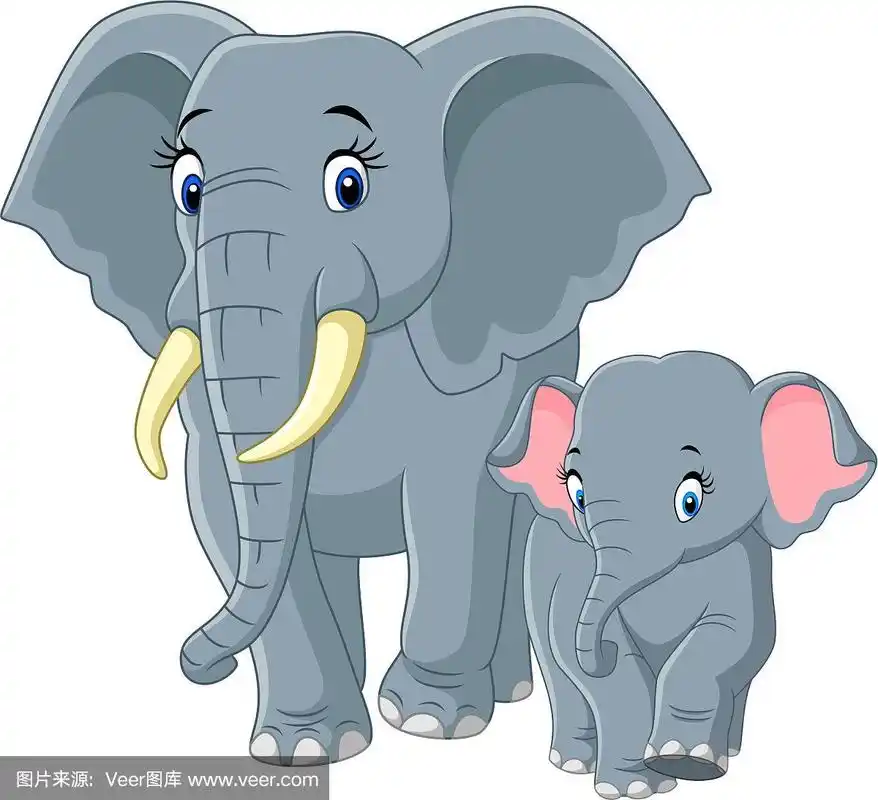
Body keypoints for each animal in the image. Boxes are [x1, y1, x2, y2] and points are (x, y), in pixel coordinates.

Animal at [2, 2, 709, 765]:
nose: (199, 664)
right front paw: (305, 749)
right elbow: (221, 500)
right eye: (188, 190)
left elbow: (452, 500)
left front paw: (431, 720)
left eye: (349, 186)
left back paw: (505, 690)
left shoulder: (470, 365)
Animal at [488, 351, 875, 798]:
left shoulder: (743, 565)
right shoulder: (576, 574)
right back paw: (572, 763)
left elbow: (737, 638)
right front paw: (635, 788)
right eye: (577, 494)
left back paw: (728, 751)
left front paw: (685, 761)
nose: (604, 650)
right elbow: (595, 664)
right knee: (559, 672)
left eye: (690, 499)